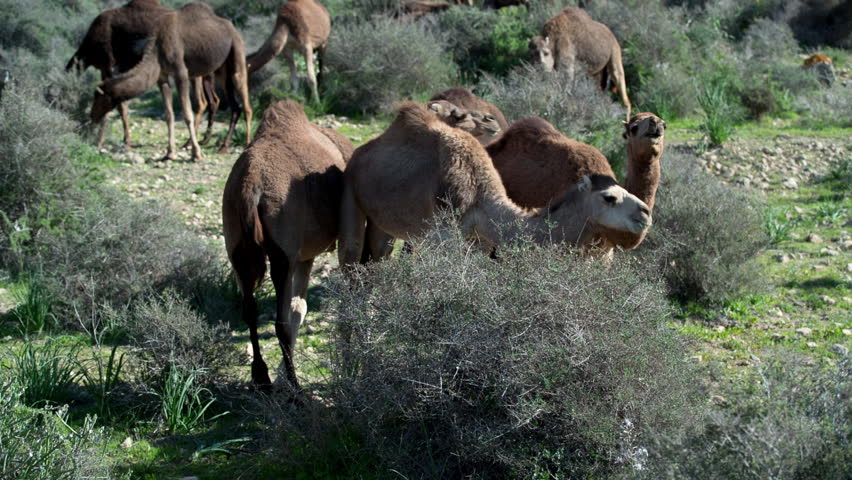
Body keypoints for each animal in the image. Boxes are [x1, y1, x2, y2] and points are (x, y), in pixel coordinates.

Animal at [90, 3, 252, 161]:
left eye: (98, 99)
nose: (92, 116)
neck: (156, 47)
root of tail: (233, 27)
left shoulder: (181, 73)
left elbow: (187, 114)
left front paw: (196, 154)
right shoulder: (162, 76)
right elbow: (169, 114)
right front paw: (169, 153)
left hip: (236, 51)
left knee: (245, 102)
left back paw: (247, 144)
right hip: (221, 70)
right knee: (234, 106)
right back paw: (223, 147)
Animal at [223, 99, 354, 389]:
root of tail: (250, 186)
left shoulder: (303, 255)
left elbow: (298, 307)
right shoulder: (302, 253)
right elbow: (297, 310)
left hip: (236, 247)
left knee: (250, 309)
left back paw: (261, 377)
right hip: (282, 253)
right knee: (280, 322)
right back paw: (294, 385)